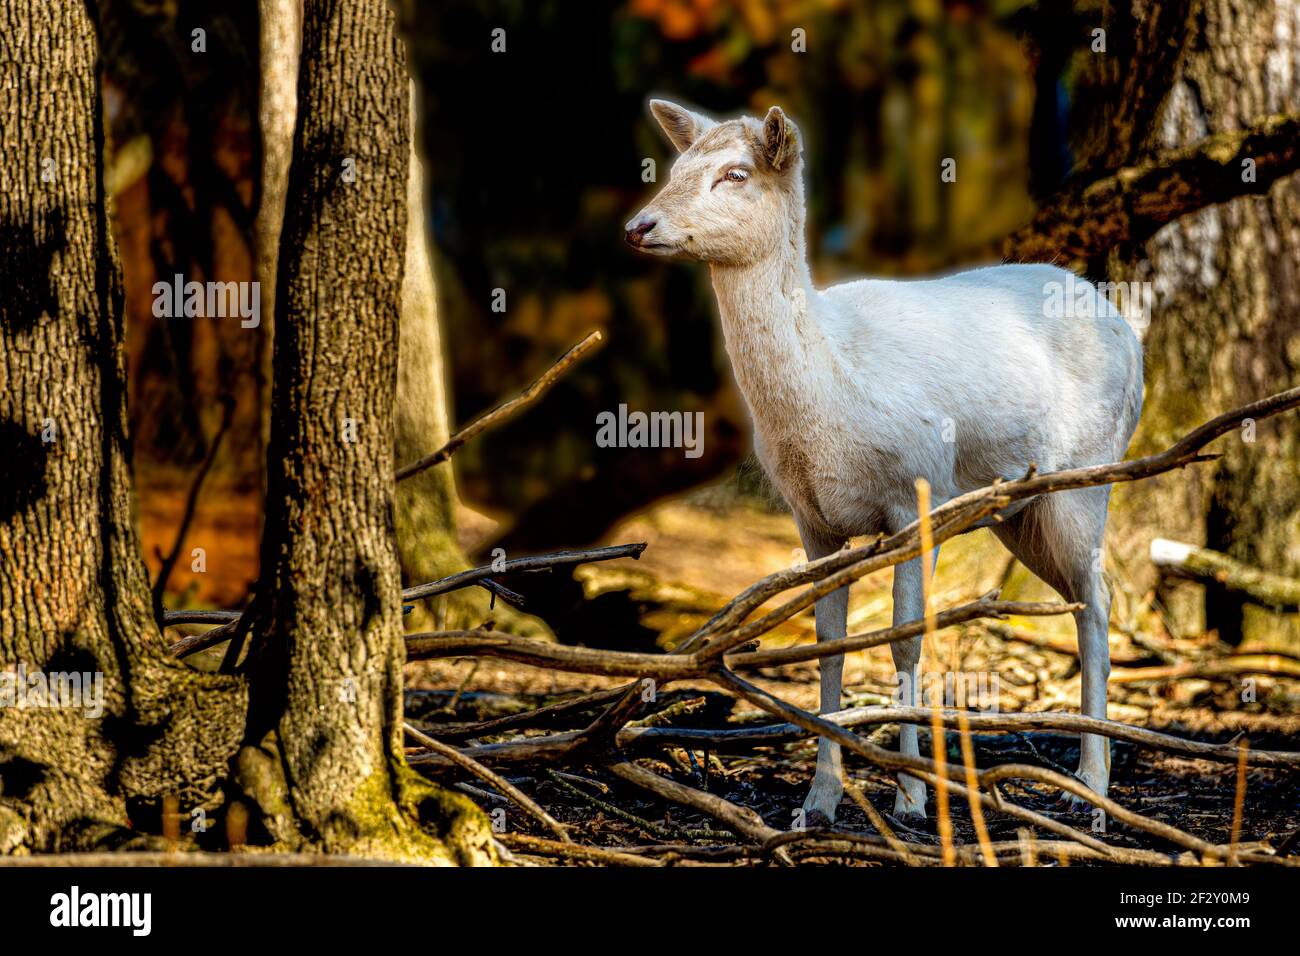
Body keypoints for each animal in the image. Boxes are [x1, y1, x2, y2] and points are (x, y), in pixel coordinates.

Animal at [625, 99, 1144, 825]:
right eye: (672, 170)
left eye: (735, 173)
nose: (639, 226)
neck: (831, 386)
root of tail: (1127, 330)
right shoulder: (811, 519)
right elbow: (828, 642)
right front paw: (816, 803)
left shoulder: (917, 490)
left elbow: (905, 637)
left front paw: (910, 797)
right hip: (1019, 509)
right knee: (1079, 597)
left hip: (1088, 476)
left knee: (1099, 599)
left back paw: (1091, 785)